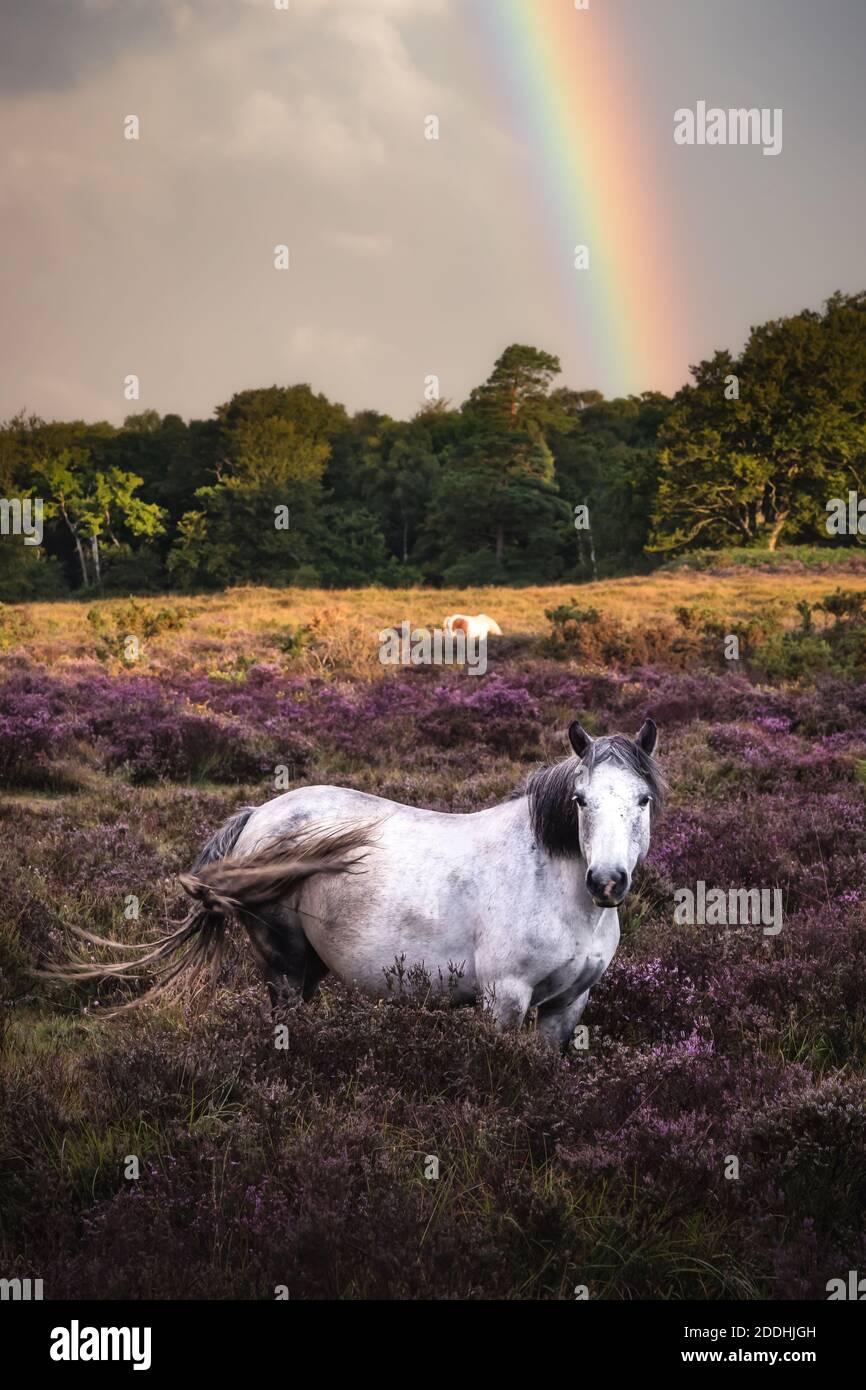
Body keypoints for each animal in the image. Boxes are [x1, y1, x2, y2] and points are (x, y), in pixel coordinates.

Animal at [59, 719, 662, 1048]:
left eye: (642, 800)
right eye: (581, 800)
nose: (607, 882)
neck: (556, 891)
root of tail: (256, 816)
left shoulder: (567, 1006)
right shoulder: (504, 999)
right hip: (284, 963)